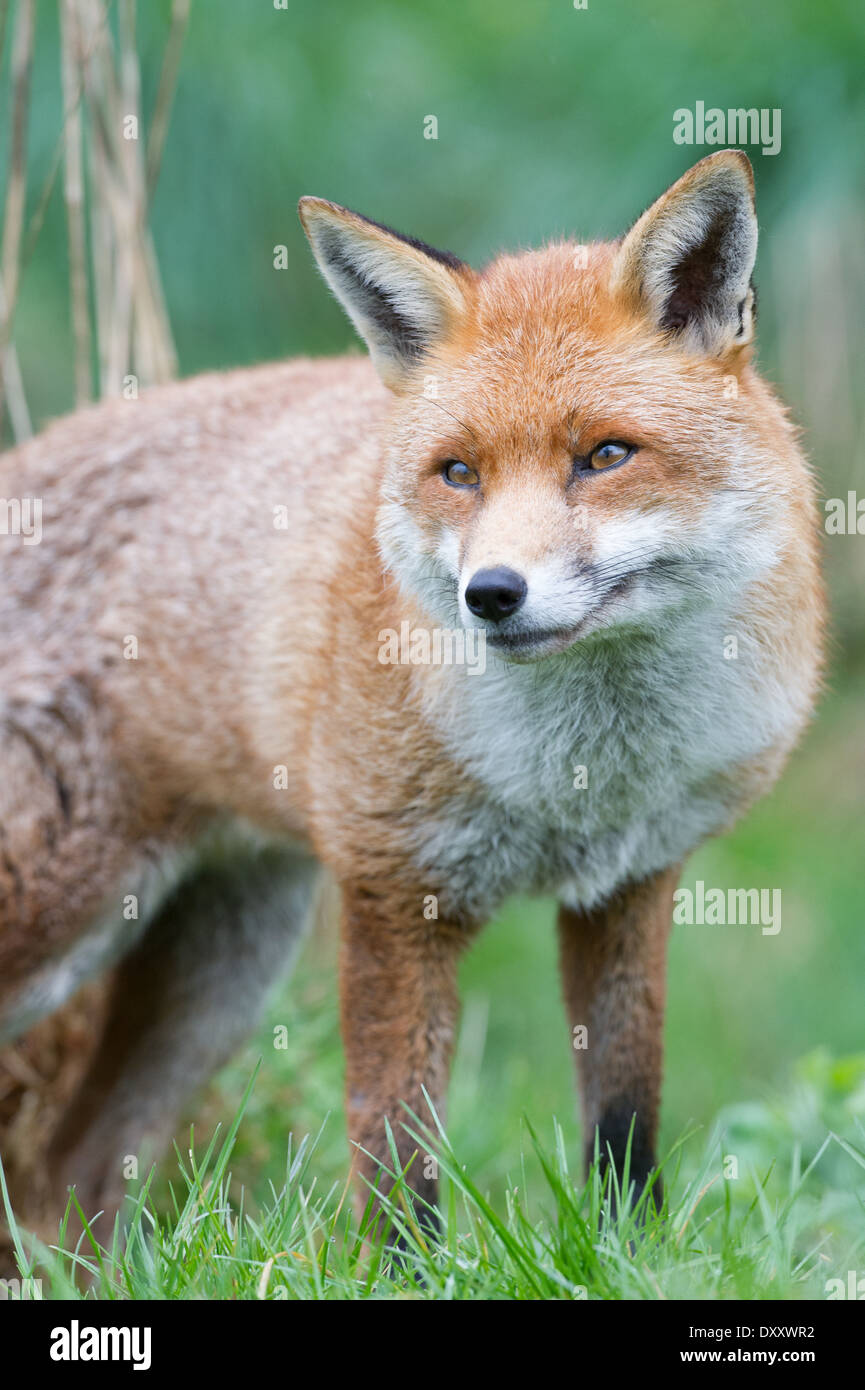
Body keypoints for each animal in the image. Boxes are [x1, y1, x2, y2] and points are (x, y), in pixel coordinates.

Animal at [0, 150, 823, 1245]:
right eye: (458, 472)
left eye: (605, 455)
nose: (492, 594)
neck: (575, 776)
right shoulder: (393, 892)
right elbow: (395, 1155)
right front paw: (402, 1270)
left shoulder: (629, 884)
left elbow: (622, 1115)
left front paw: (629, 1251)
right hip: (65, 914)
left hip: (222, 963)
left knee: (73, 1172)